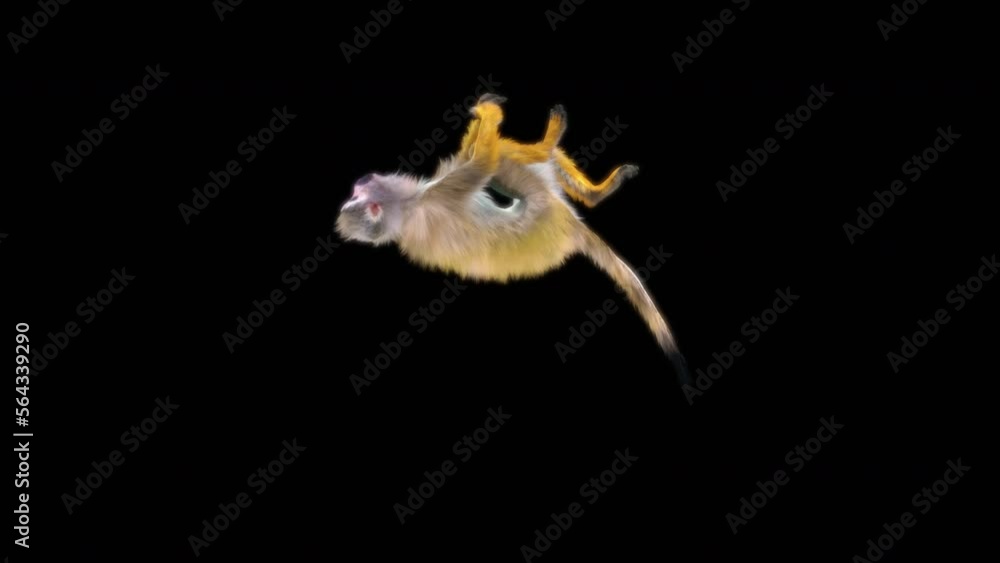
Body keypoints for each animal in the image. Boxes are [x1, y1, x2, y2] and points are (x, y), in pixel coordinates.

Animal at [336, 94, 690, 383]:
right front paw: (489, 117)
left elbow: (471, 156)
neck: (403, 214)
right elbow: (481, 164)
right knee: (506, 167)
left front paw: (480, 121)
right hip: (543, 210)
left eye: (356, 194)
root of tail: (569, 227)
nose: (361, 181)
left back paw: (592, 190)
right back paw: (549, 144)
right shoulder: (436, 199)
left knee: (505, 161)